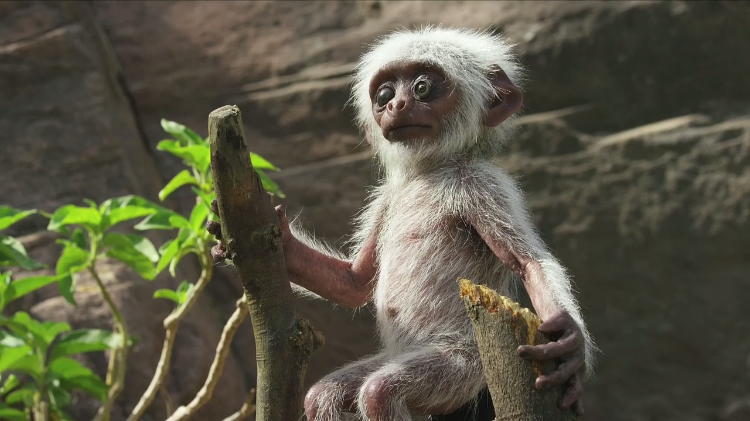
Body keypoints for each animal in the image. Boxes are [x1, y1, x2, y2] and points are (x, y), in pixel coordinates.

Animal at [207, 26, 595, 420]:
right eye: (384, 94)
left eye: (423, 88)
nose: (396, 105)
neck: (426, 174)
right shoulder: (386, 199)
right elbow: (354, 281)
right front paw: (275, 238)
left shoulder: (483, 185)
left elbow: (528, 261)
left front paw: (570, 340)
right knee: (324, 394)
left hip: (463, 368)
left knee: (381, 390)